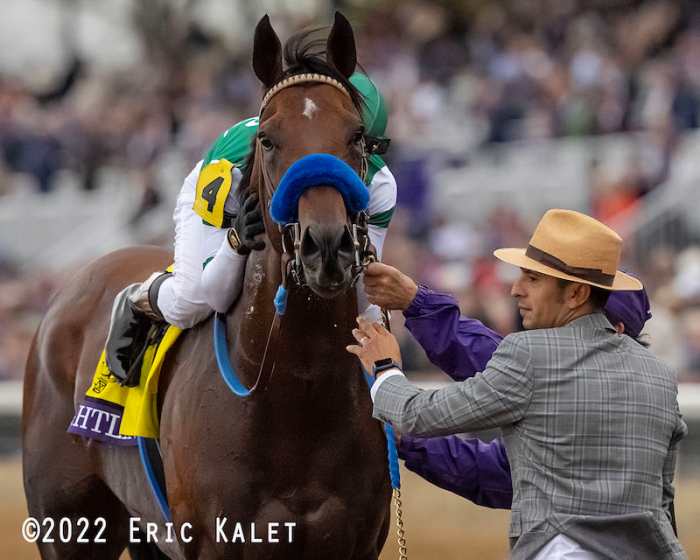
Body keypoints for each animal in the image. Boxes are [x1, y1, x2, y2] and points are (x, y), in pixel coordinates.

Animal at [23, 13, 392, 559]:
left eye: (356, 135)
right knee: (187, 292)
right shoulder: (215, 542)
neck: (298, 391)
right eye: (268, 138)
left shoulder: (357, 541)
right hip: (71, 523)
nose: (326, 247)